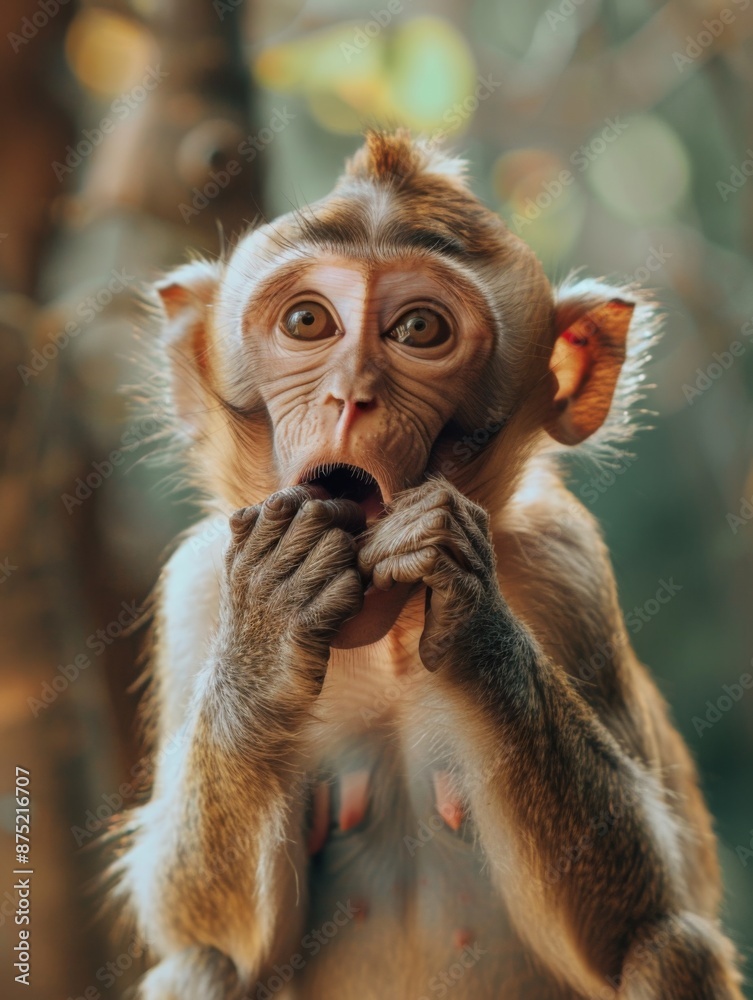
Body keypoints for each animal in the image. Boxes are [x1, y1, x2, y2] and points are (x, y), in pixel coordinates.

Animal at [111, 129, 744, 1000]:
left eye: (417, 330)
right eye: (307, 321)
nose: (350, 395)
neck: (380, 635)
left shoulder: (567, 569)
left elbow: (643, 903)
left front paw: (467, 607)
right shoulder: (198, 585)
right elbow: (208, 926)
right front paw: (269, 625)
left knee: (669, 944)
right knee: (200, 966)